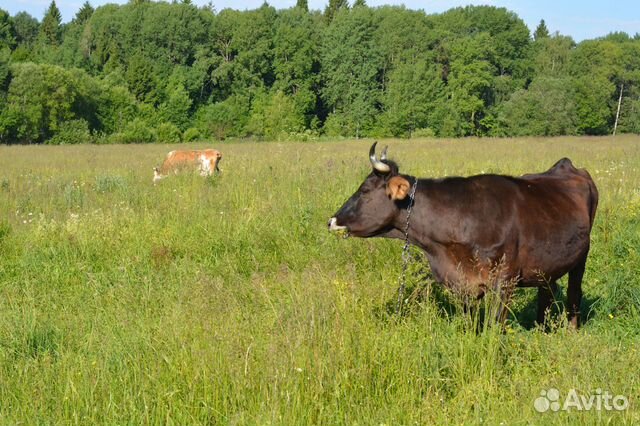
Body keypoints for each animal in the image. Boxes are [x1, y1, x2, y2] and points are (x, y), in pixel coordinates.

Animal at [328, 142, 598, 328]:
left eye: (364, 190)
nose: (332, 220)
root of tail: (564, 164)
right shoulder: (463, 283)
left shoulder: (504, 281)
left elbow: (494, 328)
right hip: (547, 264)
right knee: (547, 292)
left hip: (581, 259)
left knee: (574, 294)